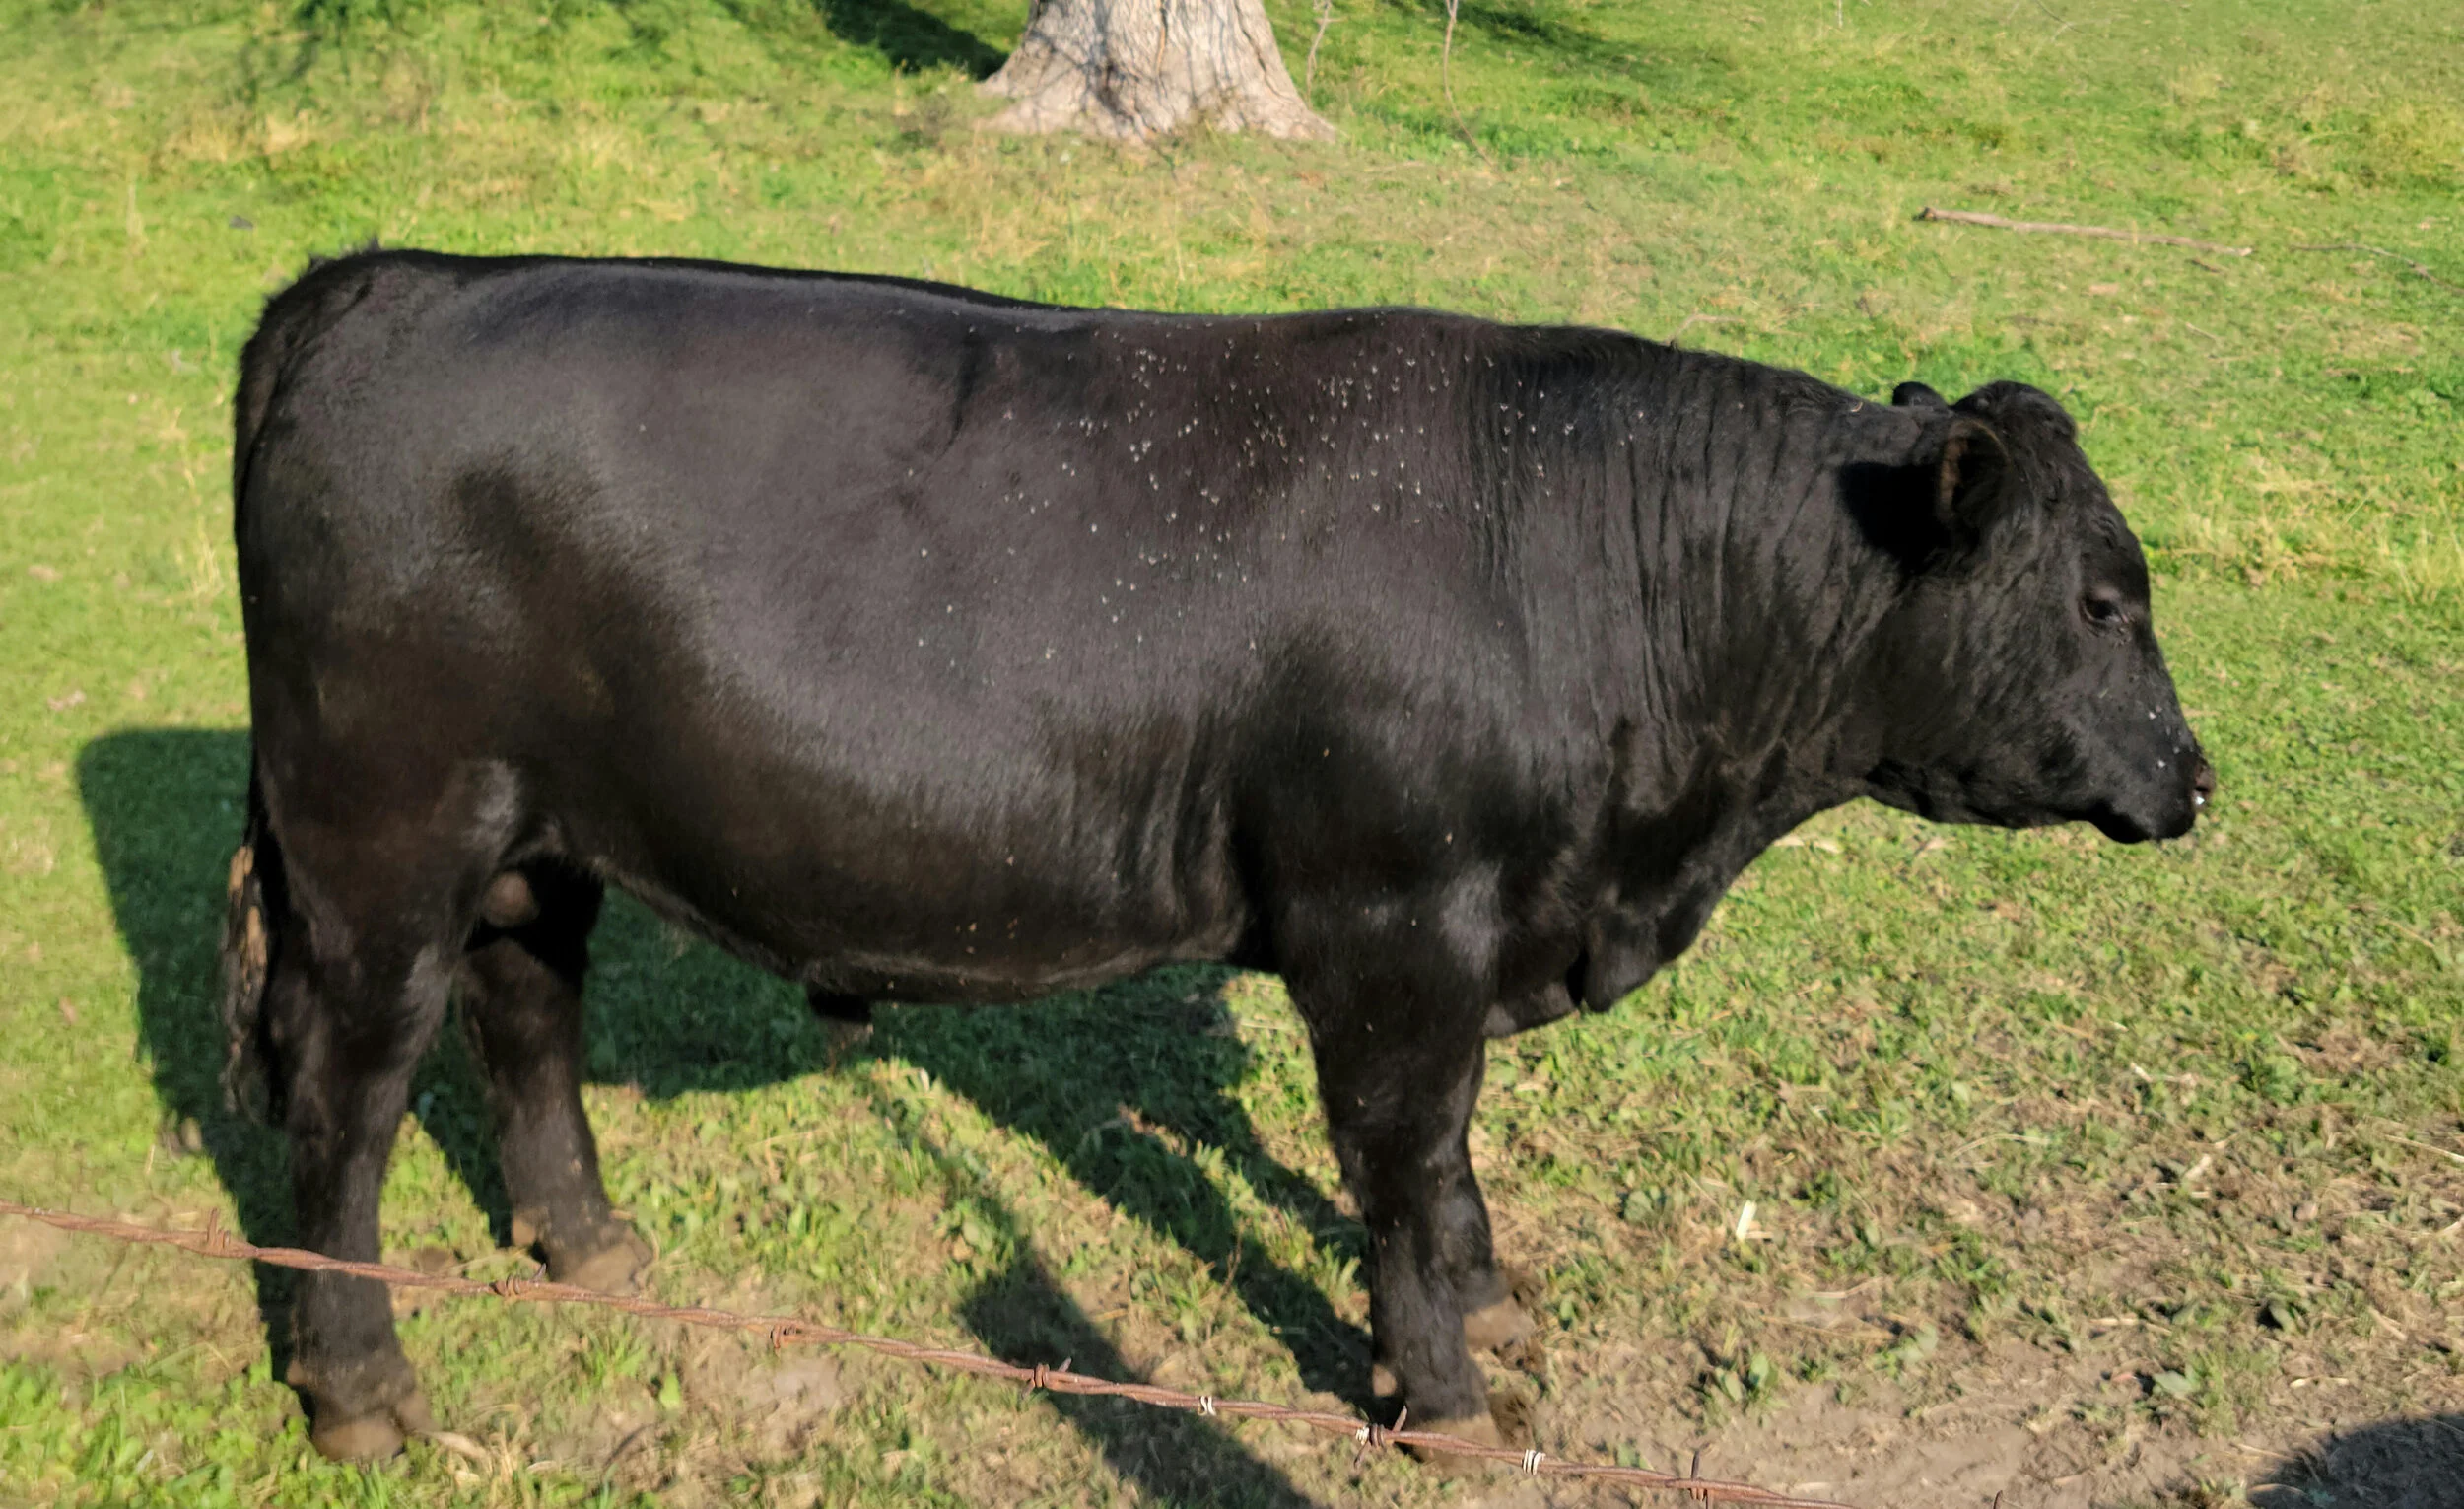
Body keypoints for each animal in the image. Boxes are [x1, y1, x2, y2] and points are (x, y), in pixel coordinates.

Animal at [218, 249, 2211, 1462]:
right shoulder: (1394, 925)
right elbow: (1402, 1157)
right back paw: (360, 1386)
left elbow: (1447, 1157)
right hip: (377, 838)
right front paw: (1445, 1388)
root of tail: (382, 282)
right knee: (349, 1098)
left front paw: (1490, 1308)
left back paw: (594, 1246)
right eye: (2102, 598)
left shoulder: (1459, 938)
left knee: (526, 1013)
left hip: (531, 837)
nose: (2196, 777)